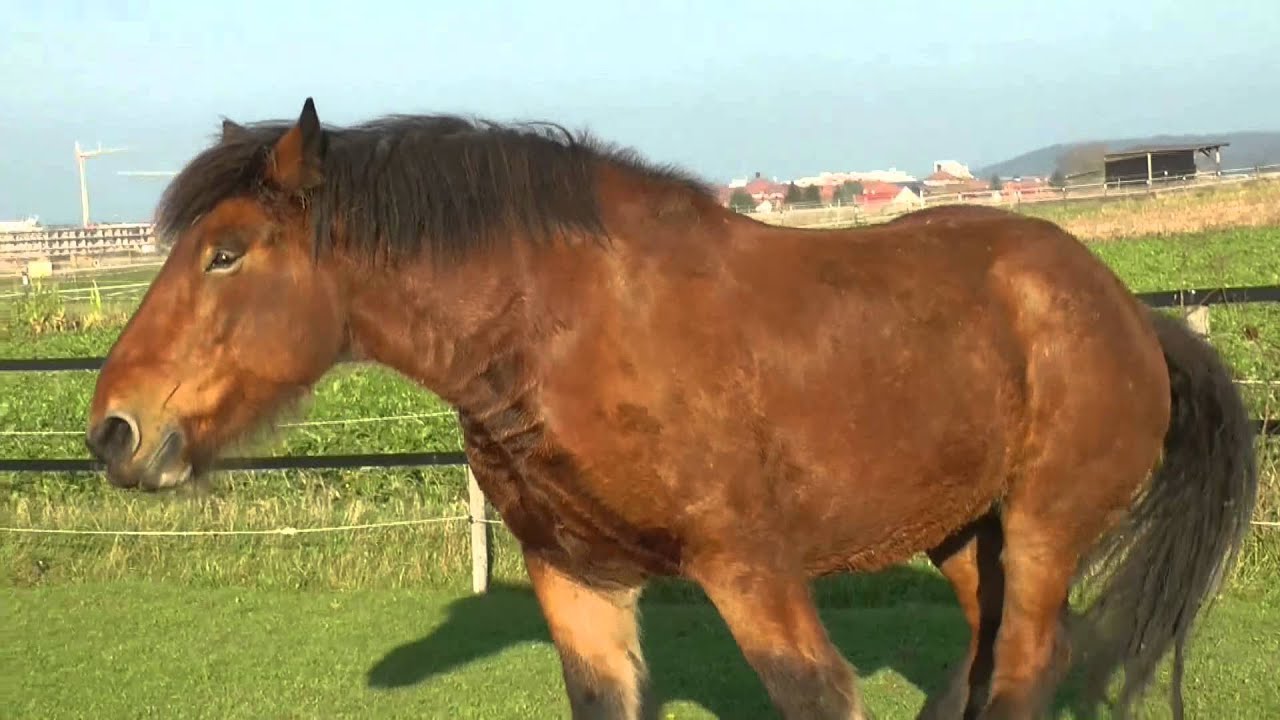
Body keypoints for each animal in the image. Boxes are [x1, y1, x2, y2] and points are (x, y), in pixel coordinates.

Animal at [84, 98, 1258, 720]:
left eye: (227, 253)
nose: (113, 430)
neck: (573, 326)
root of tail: (1126, 311)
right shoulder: (579, 584)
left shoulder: (753, 576)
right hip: (970, 536)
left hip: (1044, 528)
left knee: (1019, 670)